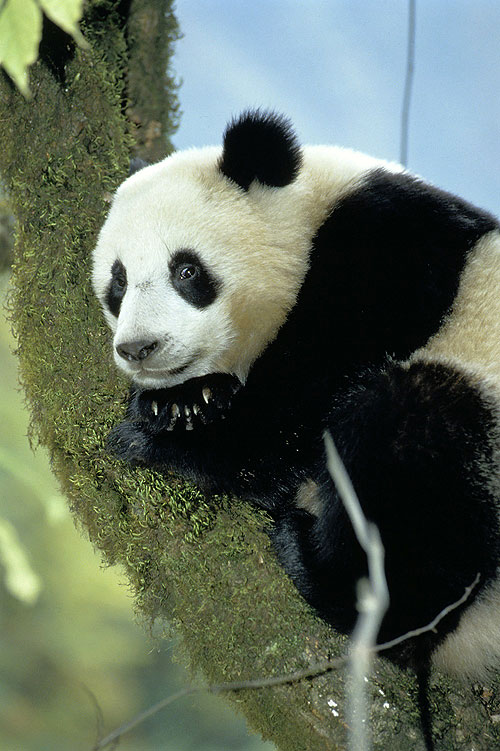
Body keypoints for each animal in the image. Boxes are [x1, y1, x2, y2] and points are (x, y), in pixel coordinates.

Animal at [92, 110, 500, 680]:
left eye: (187, 270)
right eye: (118, 283)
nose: (138, 348)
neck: (307, 214)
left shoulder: (391, 252)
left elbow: (306, 395)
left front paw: (169, 443)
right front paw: (184, 402)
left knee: (412, 435)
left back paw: (328, 573)